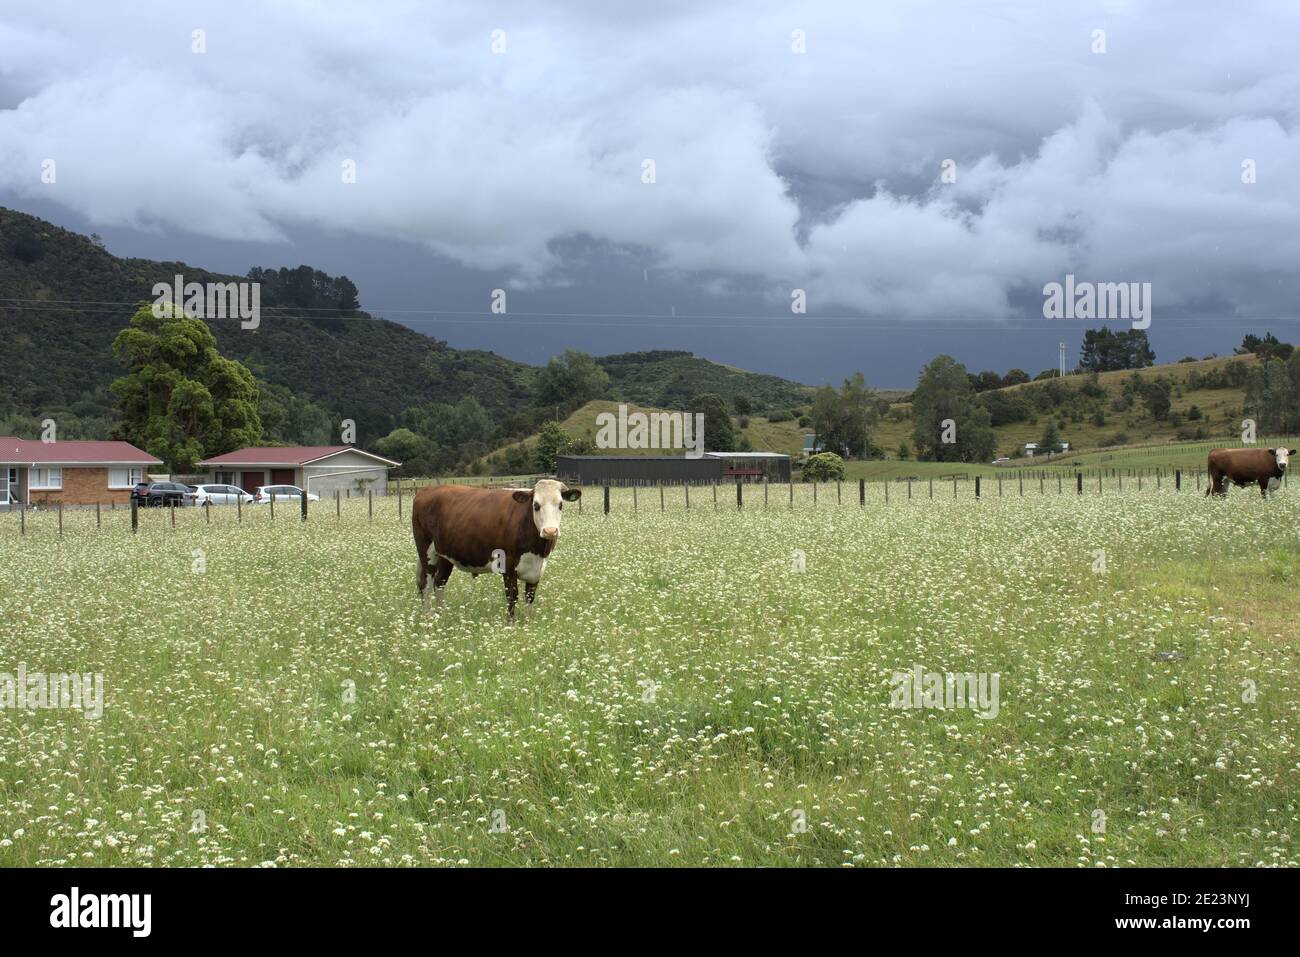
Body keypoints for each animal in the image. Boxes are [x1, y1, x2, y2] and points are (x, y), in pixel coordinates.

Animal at [411, 479, 581, 617]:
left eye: (560, 504)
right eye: (536, 505)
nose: (550, 531)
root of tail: (427, 490)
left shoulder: (537, 571)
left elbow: (529, 597)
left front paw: (528, 622)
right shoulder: (508, 567)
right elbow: (512, 598)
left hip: (445, 556)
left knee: (439, 583)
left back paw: (442, 615)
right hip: (426, 551)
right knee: (426, 584)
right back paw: (429, 618)